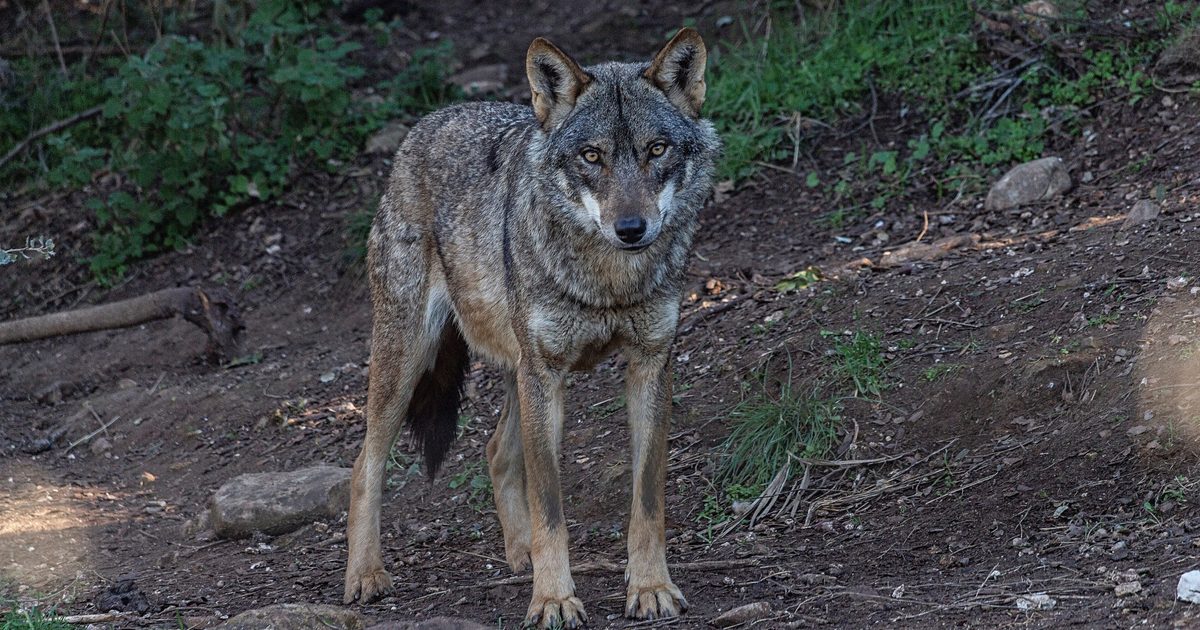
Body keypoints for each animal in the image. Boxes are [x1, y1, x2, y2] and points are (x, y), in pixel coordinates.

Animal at [342, 28, 719, 628]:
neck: (609, 281)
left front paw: (651, 587)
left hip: (516, 372)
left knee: (496, 450)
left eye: (656, 150)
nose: (631, 228)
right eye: (592, 156)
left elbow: (647, 502)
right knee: (363, 466)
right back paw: (364, 575)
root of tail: (427, 123)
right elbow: (551, 509)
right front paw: (554, 600)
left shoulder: (649, 365)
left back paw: (518, 554)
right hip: (412, 362)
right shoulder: (547, 375)